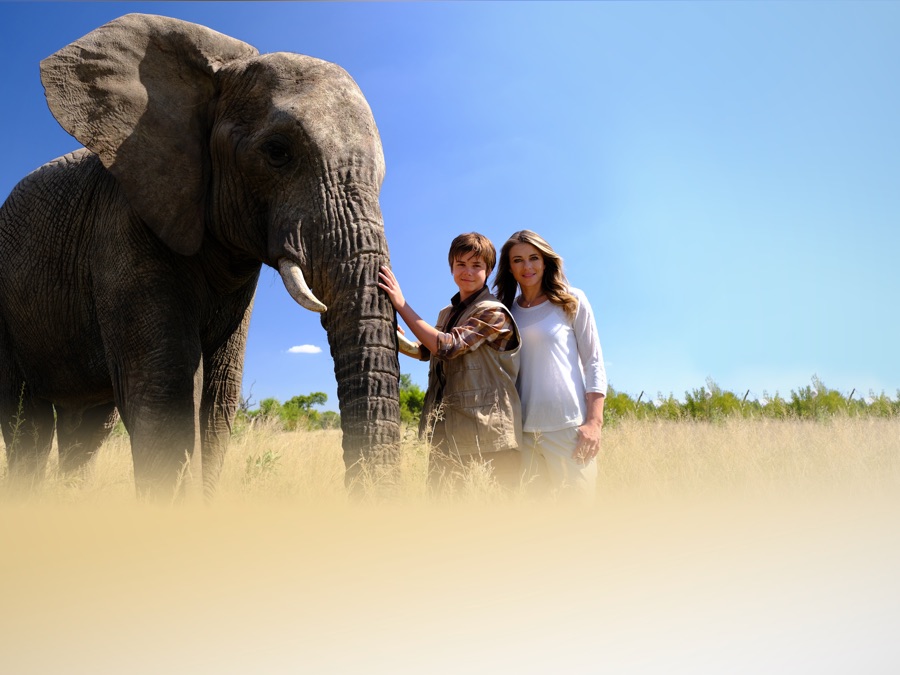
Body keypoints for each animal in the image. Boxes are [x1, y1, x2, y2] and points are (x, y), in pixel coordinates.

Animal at [0, 13, 401, 498]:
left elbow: (219, 396)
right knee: (27, 422)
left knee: (88, 429)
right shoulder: (123, 222)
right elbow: (165, 391)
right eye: (277, 152)